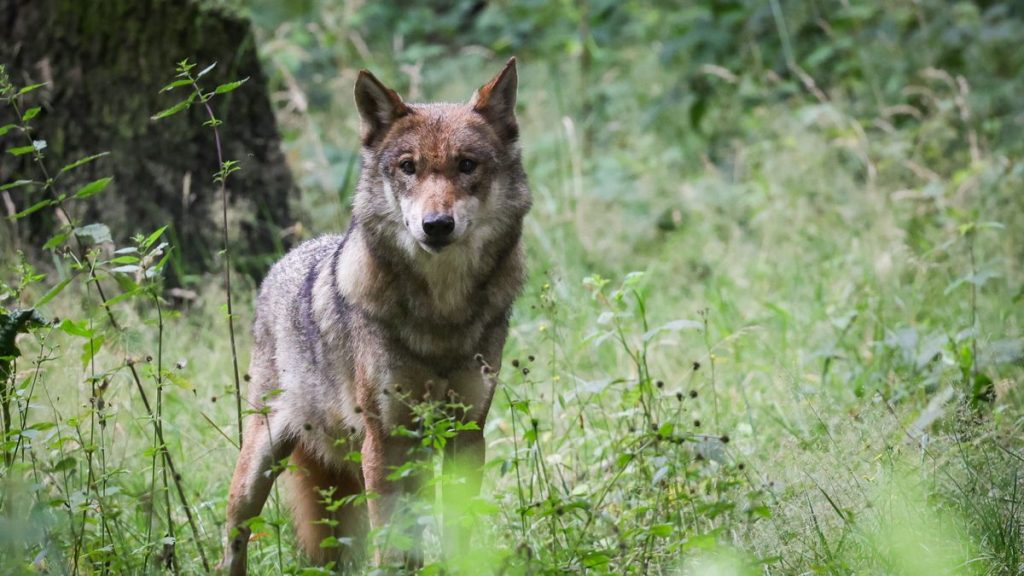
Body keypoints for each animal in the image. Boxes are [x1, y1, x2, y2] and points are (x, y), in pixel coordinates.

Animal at [219, 59, 532, 573]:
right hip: (259, 466)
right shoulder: (385, 441)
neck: (441, 315)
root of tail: (284, 261)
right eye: (408, 167)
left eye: (467, 165)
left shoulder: (466, 433)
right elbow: (392, 543)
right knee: (234, 535)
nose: (436, 225)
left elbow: (458, 533)